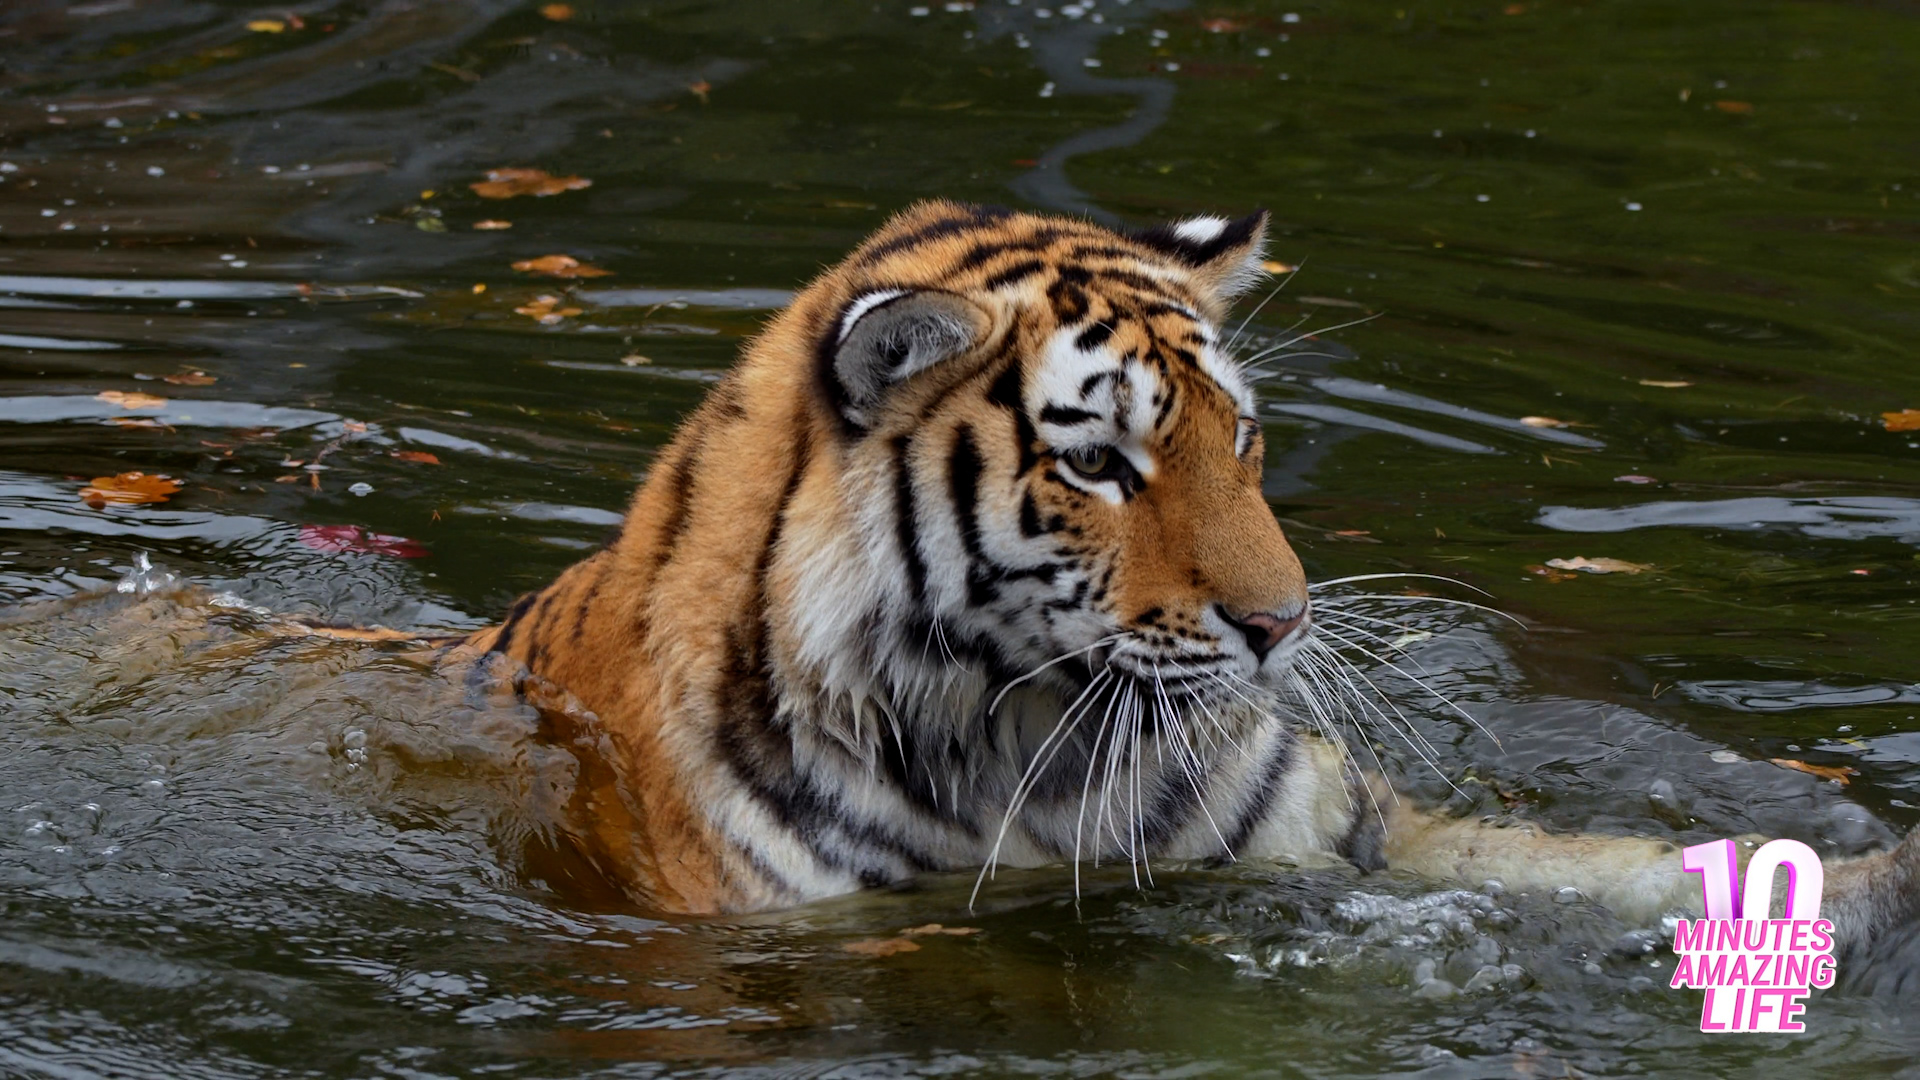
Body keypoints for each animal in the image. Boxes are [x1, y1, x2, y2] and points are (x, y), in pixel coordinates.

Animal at [462, 200, 1920, 980]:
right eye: (1099, 463)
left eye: (1246, 439)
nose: (1284, 625)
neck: (1015, 743)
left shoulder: (1342, 831)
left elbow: (1599, 869)